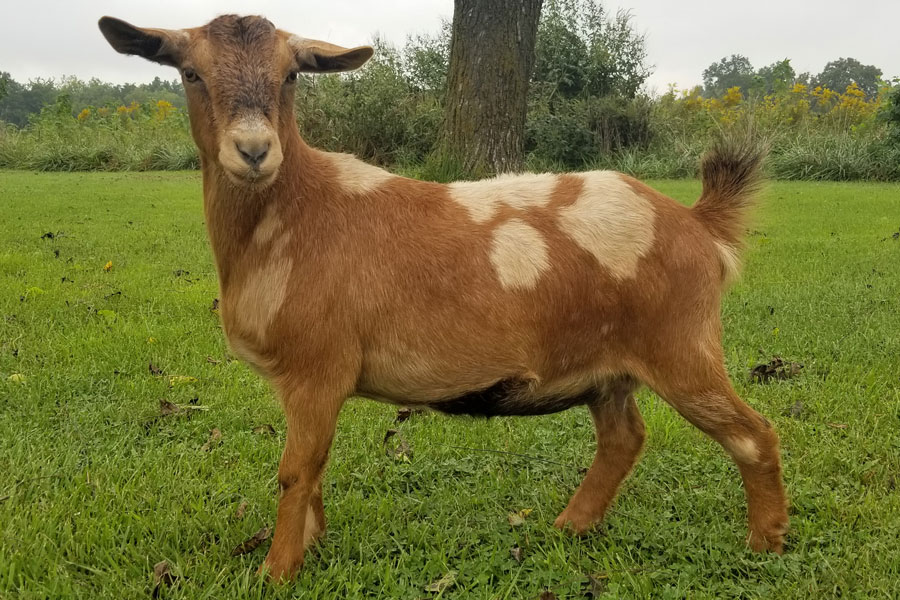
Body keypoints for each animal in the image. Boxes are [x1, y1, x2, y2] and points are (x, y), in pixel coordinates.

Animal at [99, 14, 789, 582]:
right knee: (624, 437)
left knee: (754, 435)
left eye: (291, 75)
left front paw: (277, 571)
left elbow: (296, 469)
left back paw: (766, 544)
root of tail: (698, 223)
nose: (253, 151)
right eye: (190, 73)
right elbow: (313, 468)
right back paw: (570, 527)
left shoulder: (319, 368)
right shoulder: (305, 382)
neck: (297, 211)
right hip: (606, 368)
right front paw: (312, 548)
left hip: (683, 345)